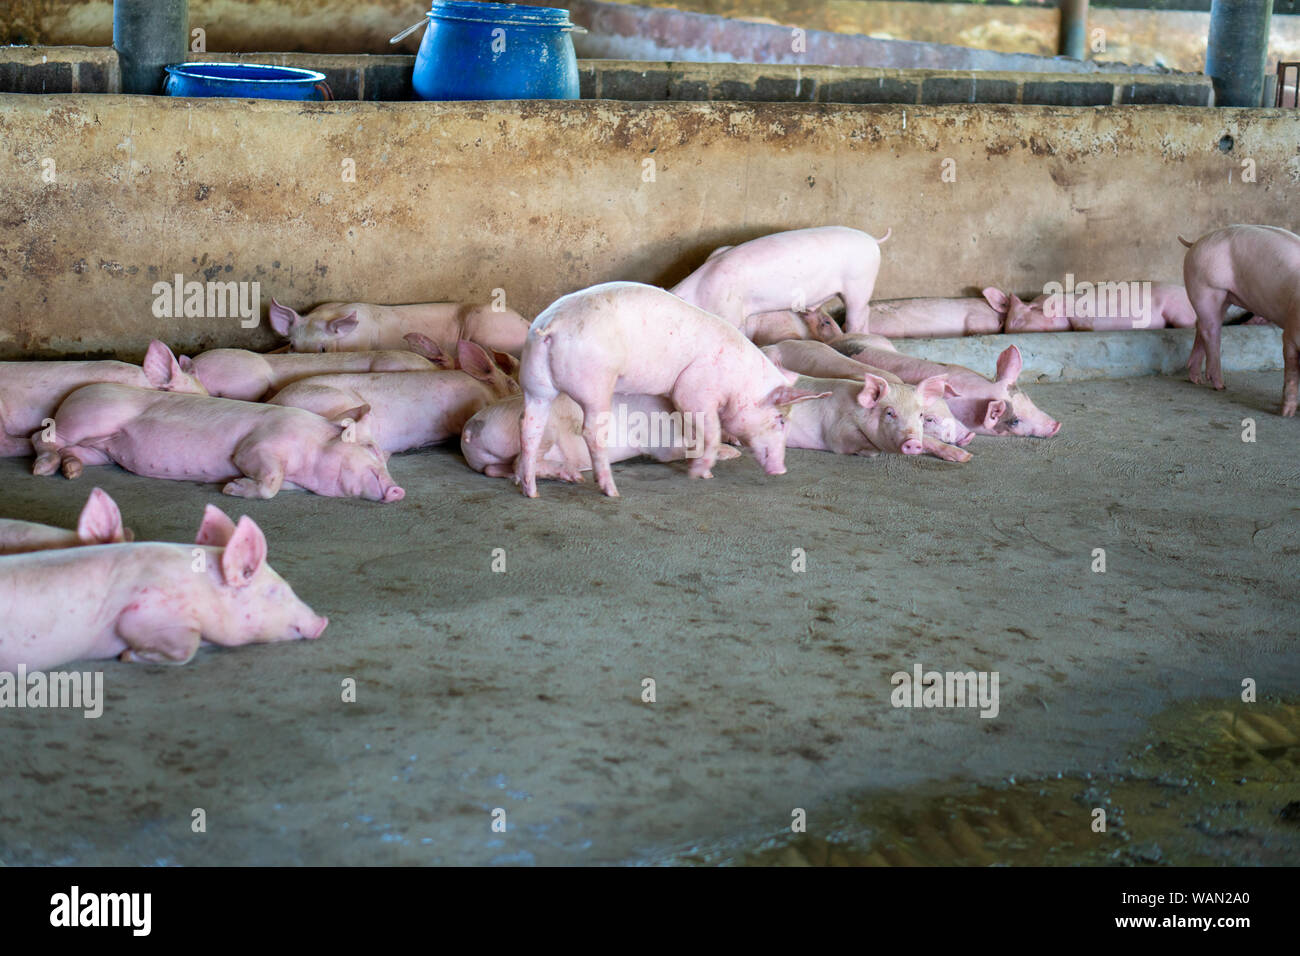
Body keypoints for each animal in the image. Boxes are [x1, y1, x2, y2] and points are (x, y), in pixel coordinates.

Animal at [32, 384, 404, 502]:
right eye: (371, 449)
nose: (399, 489)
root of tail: (75, 393)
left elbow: (274, 484)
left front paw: (233, 485)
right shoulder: (258, 445)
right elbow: (269, 479)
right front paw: (230, 488)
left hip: (102, 450)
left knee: (71, 451)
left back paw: (72, 471)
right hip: (90, 416)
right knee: (42, 437)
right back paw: (43, 470)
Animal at [461, 392, 741, 482]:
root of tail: (471, 428)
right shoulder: (660, 441)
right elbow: (679, 450)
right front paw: (732, 454)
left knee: (500, 469)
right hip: (542, 427)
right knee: (521, 463)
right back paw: (573, 475)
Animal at [515, 282, 829, 498]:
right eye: (780, 420)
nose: (781, 470)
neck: (740, 382)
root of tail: (551, 327)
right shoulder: (695, 388)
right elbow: (711, 427)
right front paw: (701, 474)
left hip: (535, 381)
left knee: (528, 428)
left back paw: (531, 491)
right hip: (595, 382)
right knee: (591, 431)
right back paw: (611, 491)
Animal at [782, 374, 971, 463]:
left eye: (921, 415)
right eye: (889, 413)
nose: (912, 442)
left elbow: (928, 440)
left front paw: (965, 457)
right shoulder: (836, 431)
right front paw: (869, 451)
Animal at [1180, 225, 1300, 415]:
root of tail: (1196, 242)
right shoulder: (1291, 334)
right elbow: (1292, 372)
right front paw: (1285, 413)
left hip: (1225, 296)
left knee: (1202, 325)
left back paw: (1197, 379)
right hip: (1206, 287)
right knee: (1211, 330)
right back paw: (1219, 386)